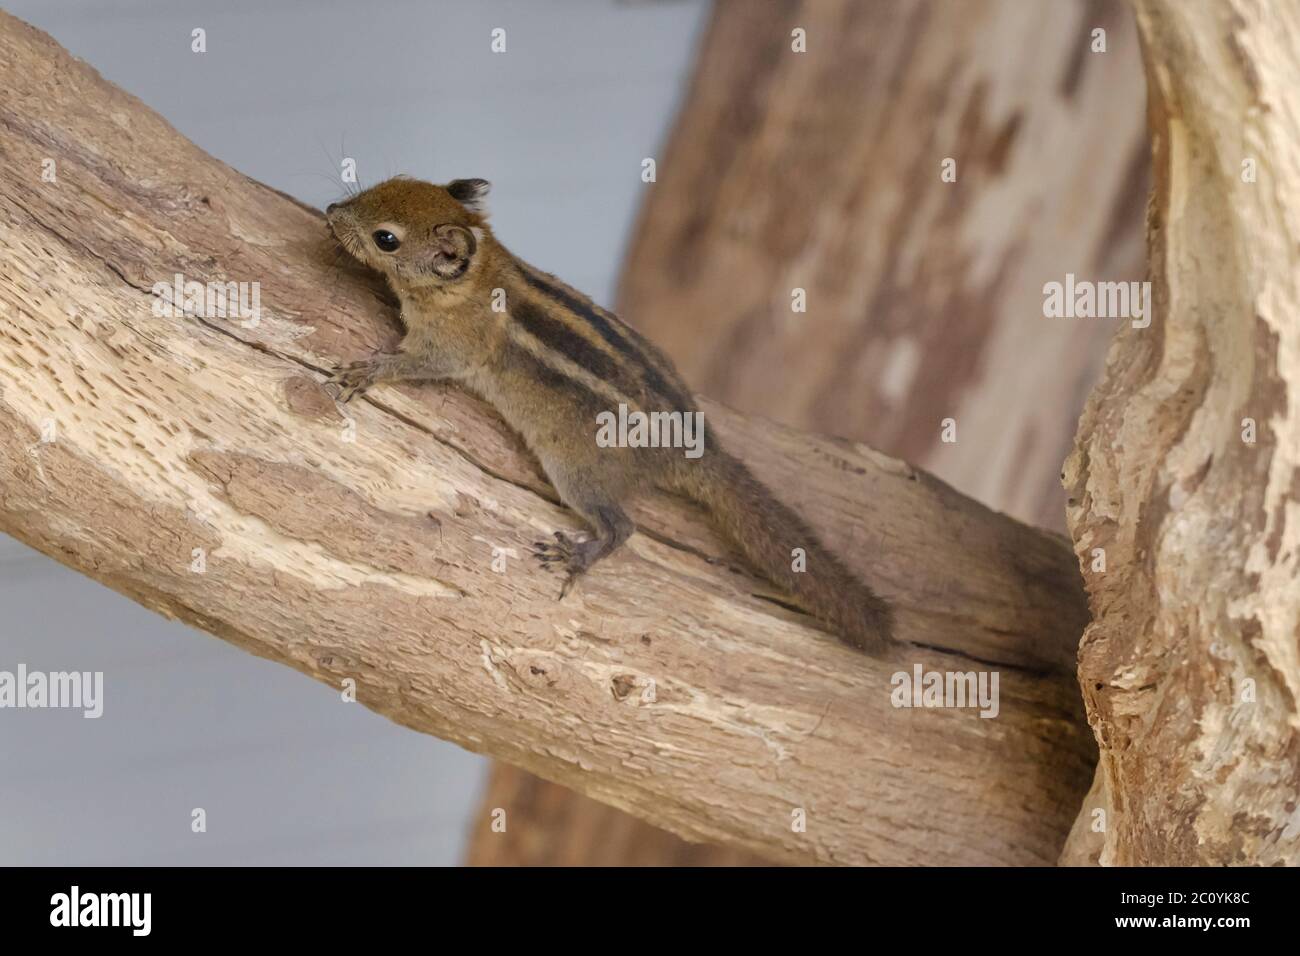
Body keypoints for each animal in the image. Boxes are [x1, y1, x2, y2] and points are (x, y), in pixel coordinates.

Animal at [324, 176, 894, 653]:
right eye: (381, 182)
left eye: (386, 239)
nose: (330, 210)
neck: (478, 276)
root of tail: (696, 447)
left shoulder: (451, 348)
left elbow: (415, 363)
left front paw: (368, 371)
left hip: (577, 474)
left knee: (623, 527)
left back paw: (580, 555)